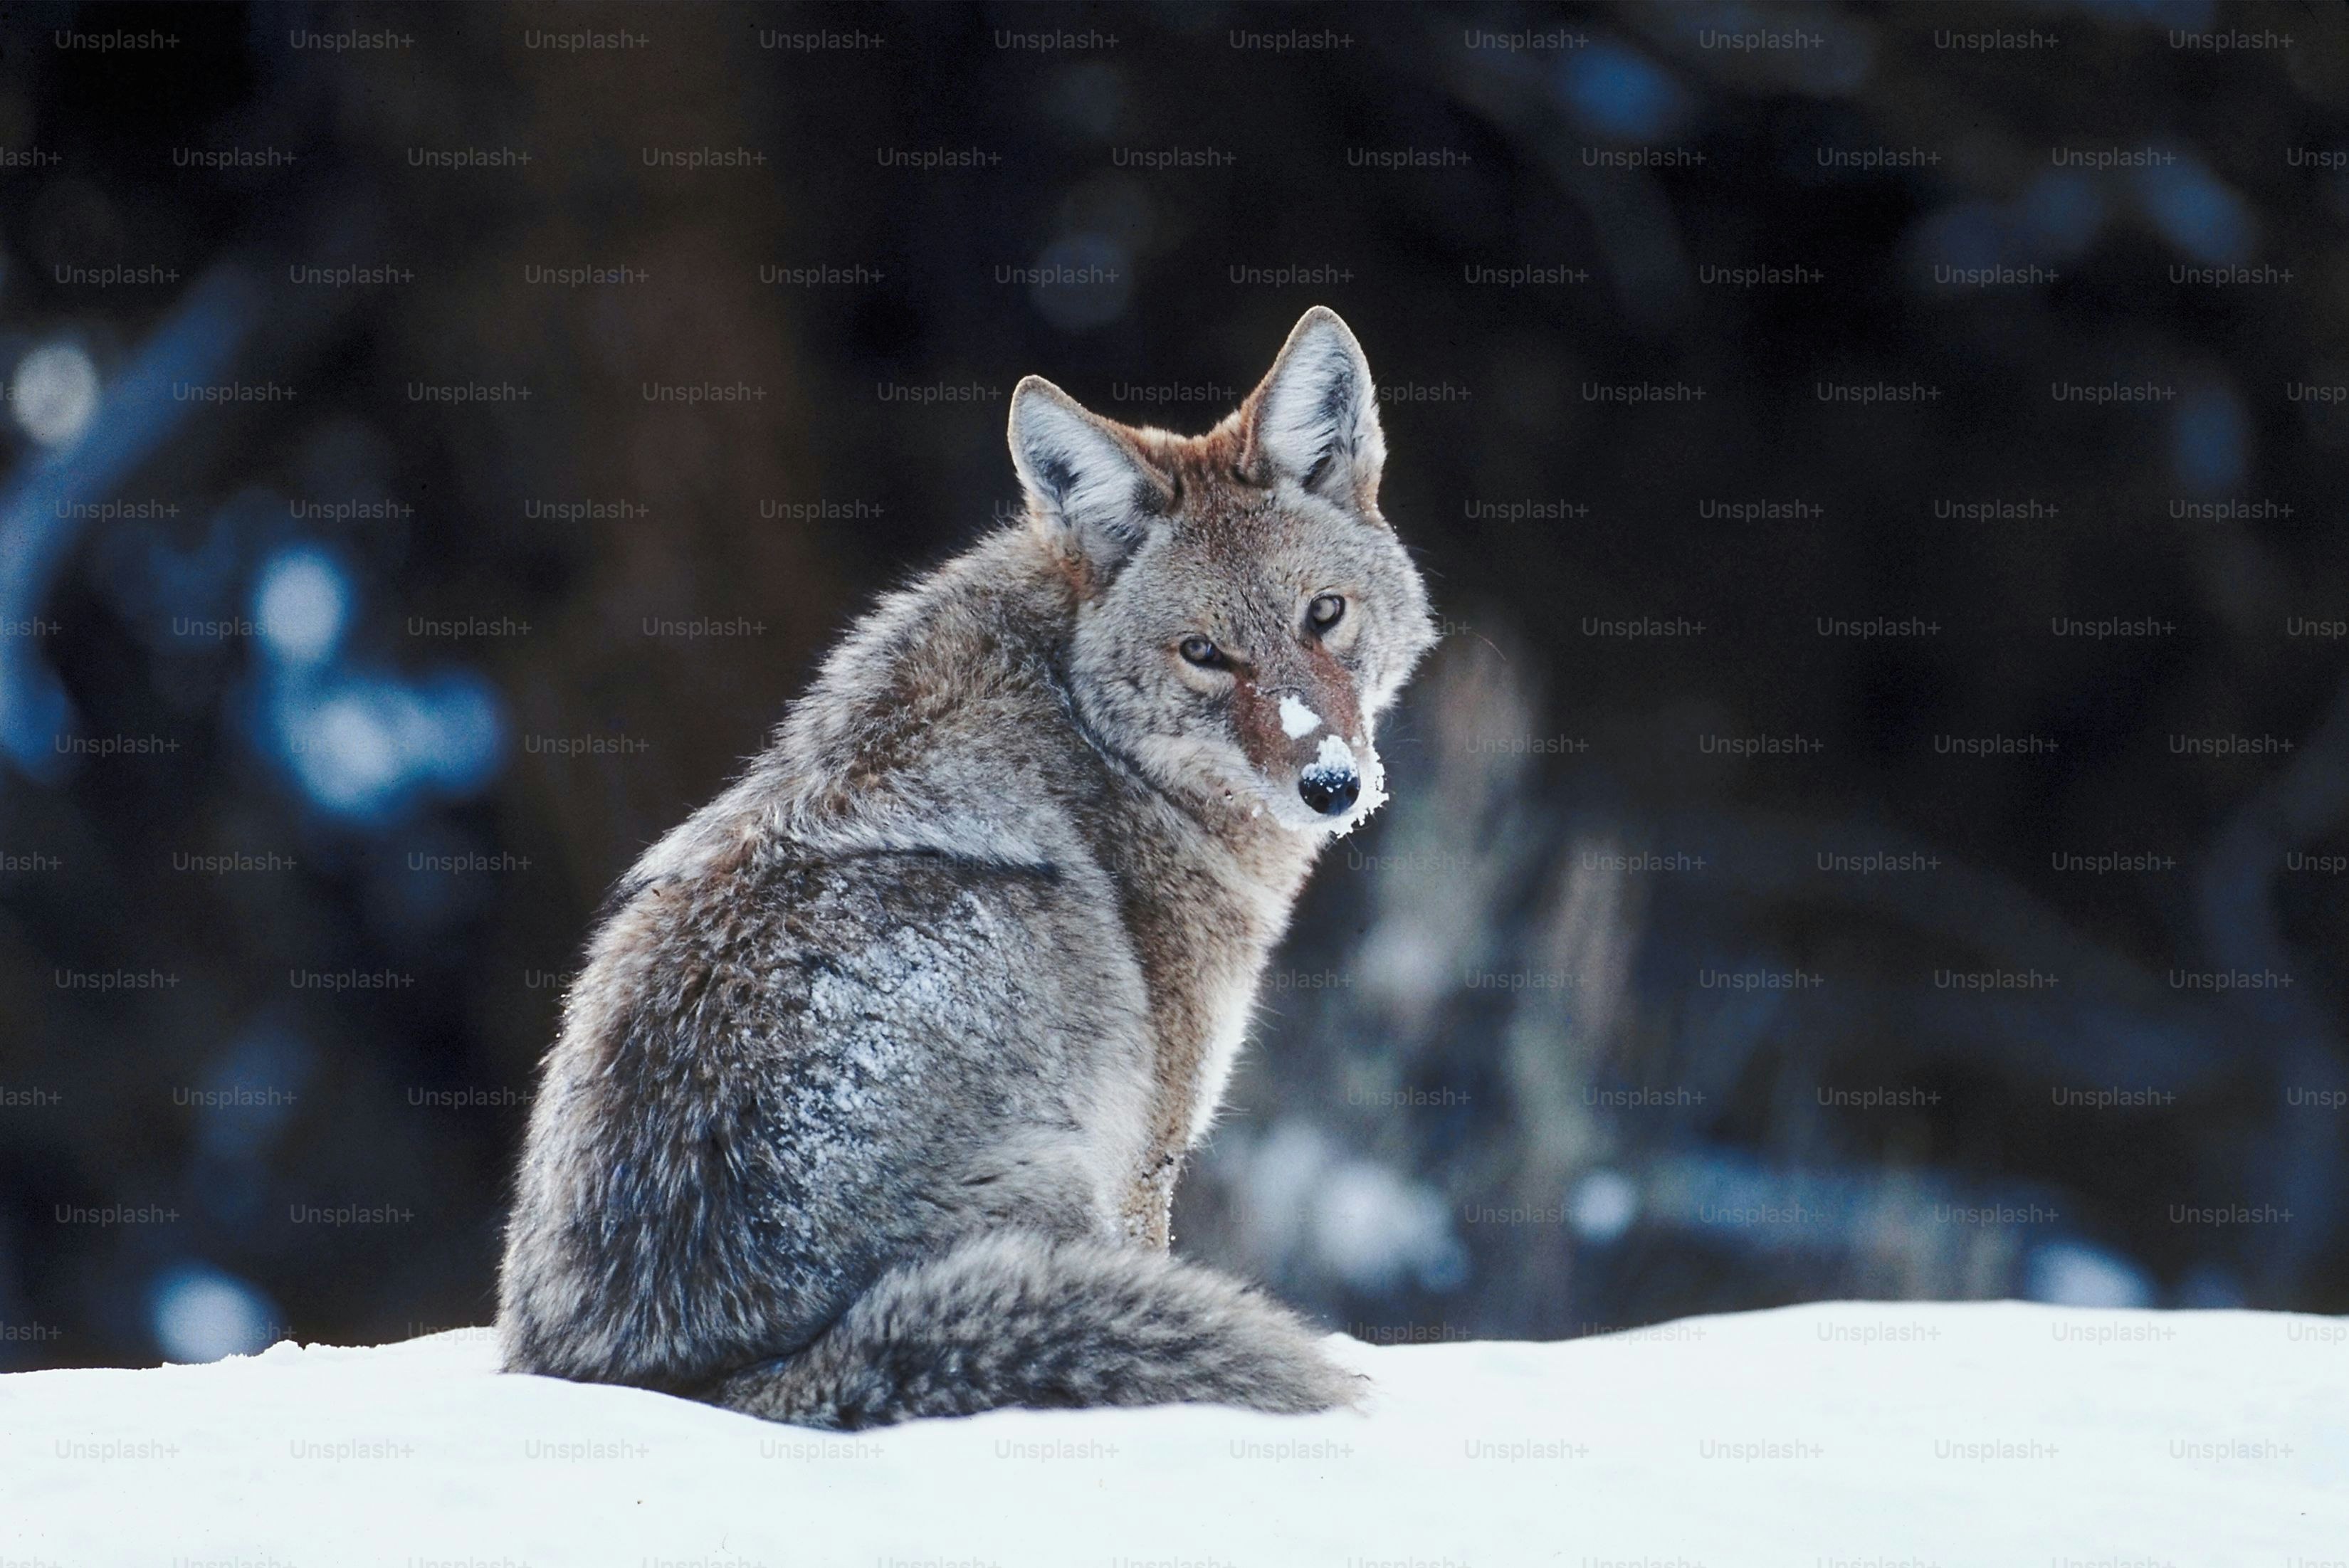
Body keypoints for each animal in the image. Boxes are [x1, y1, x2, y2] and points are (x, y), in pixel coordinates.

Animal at [497, 307, 1436, 1428]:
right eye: (1205, 653)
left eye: (1323, 613)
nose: (1332, 784)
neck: (1088, 728)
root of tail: (721, 1381)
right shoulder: (1147, 1155)